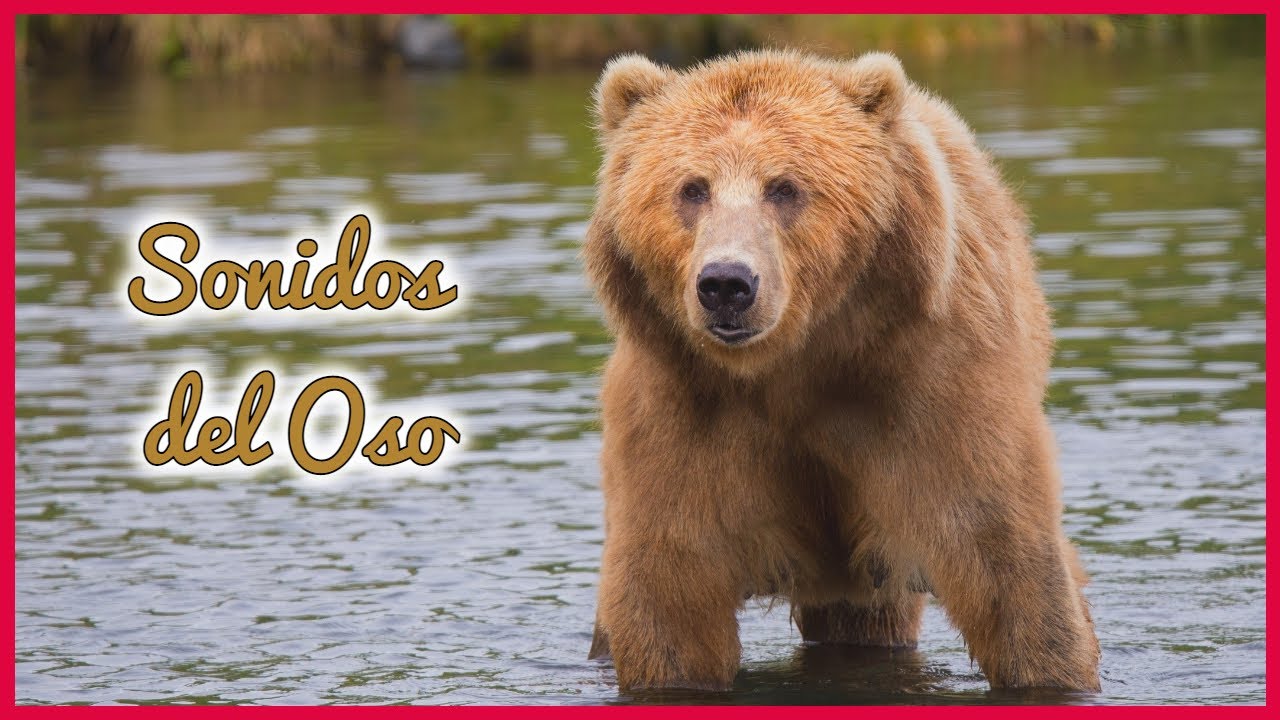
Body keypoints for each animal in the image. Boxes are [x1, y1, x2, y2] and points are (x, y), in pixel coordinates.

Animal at [581, 49, 1101, 694]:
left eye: (784, 187)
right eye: (692, 188)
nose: (726, 284)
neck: (796, 361)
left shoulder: (932, 387)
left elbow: (1006, 559)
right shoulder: (684, 407)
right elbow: (670, 590)